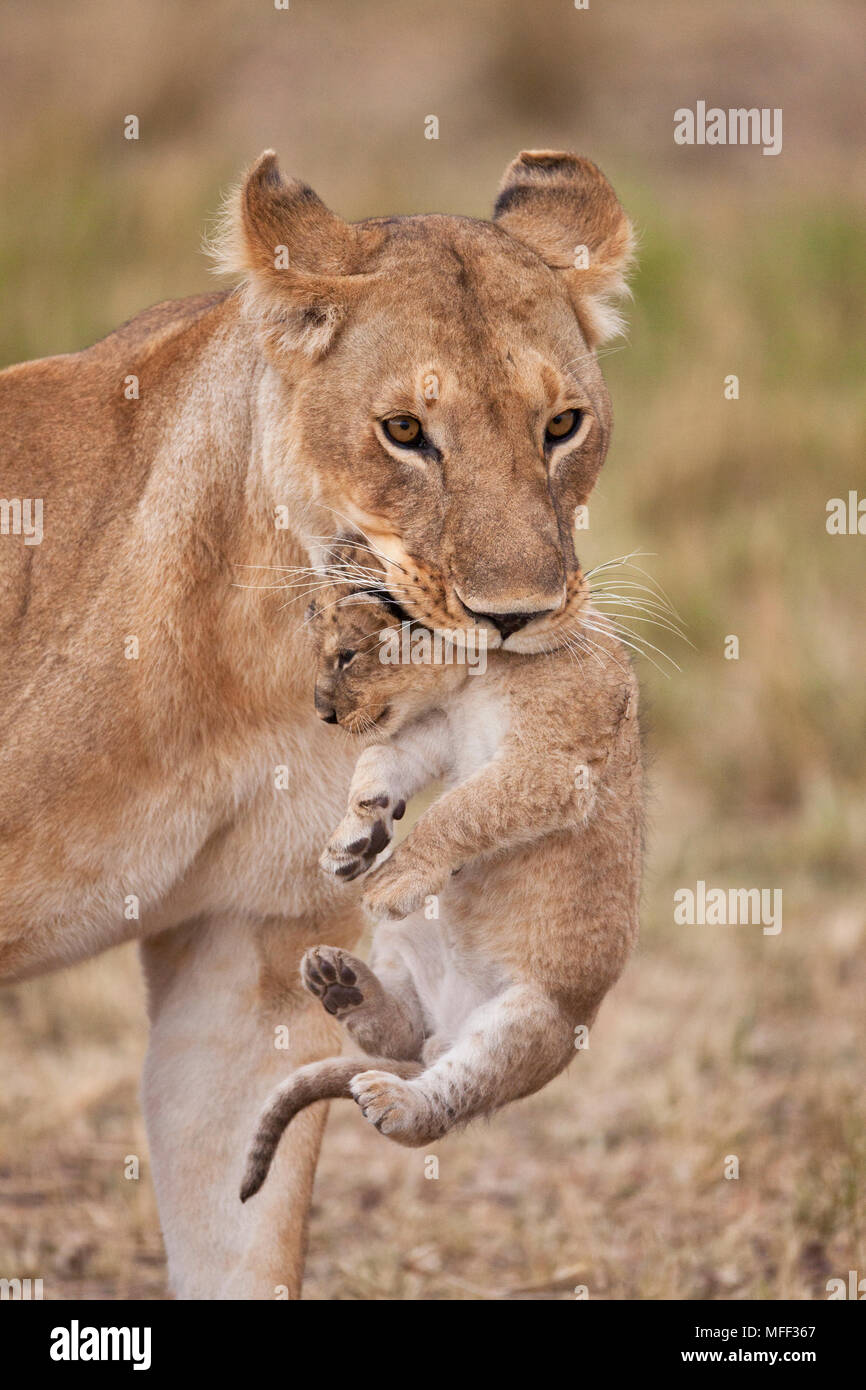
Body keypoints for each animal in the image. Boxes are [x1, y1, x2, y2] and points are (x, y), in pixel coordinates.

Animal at [0, 149, 634, 1298]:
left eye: (562, 426)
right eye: (405, 432)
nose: (518, 616)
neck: (249, 650)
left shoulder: (250, 960)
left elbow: (242, 1237)